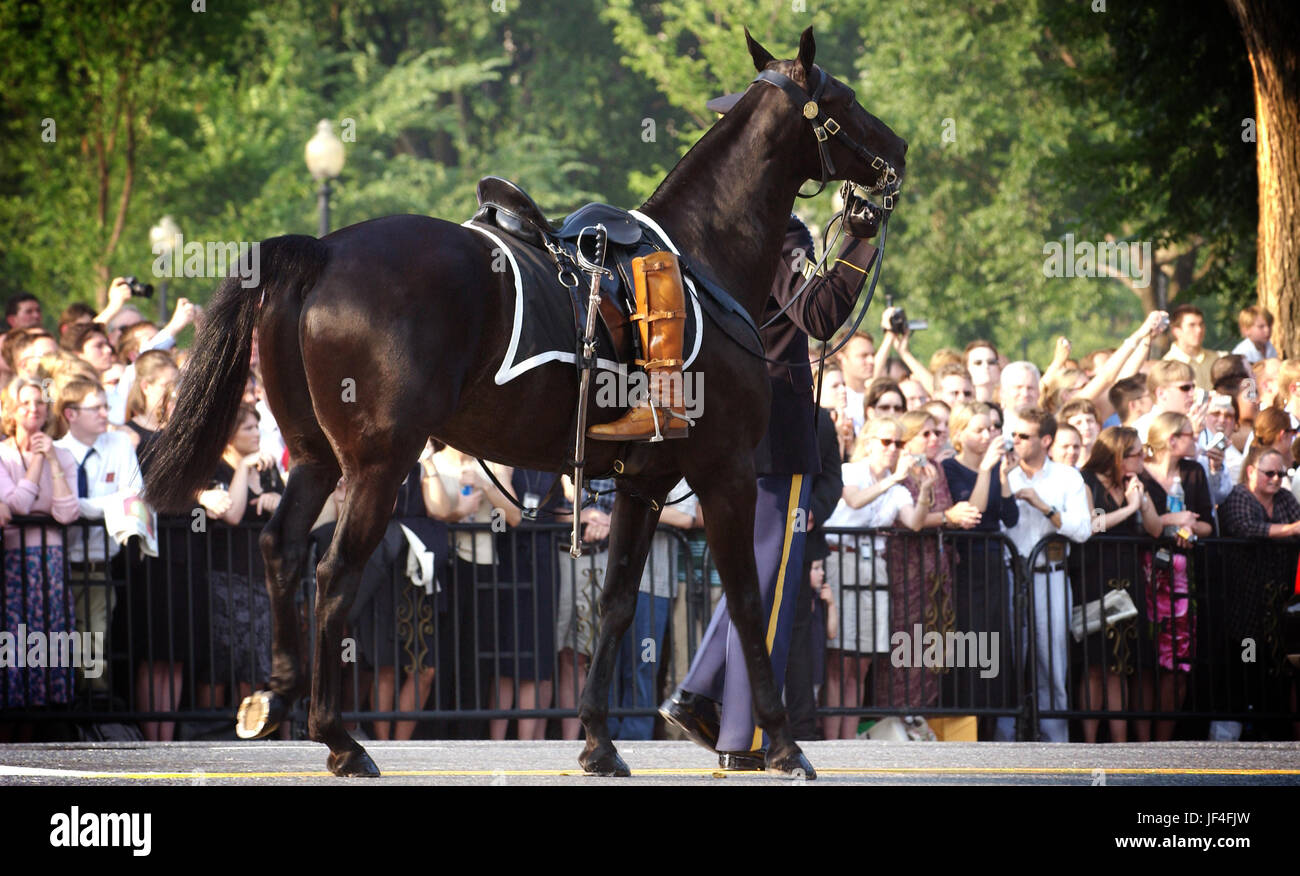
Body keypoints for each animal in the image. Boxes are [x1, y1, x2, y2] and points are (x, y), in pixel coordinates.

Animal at [143, 26, 906, 778]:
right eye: (843, 97)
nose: (897, 152)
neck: (703, 258)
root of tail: (323, 253)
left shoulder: (645, 483)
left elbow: (617, 601)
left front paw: (598, 739)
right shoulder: (726, 471)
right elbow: (748, 601)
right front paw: (783, 743)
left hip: (316, 458)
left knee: (281, 548)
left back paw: (276, 695)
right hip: (380, 465)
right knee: (332, 576)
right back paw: (339, 737)